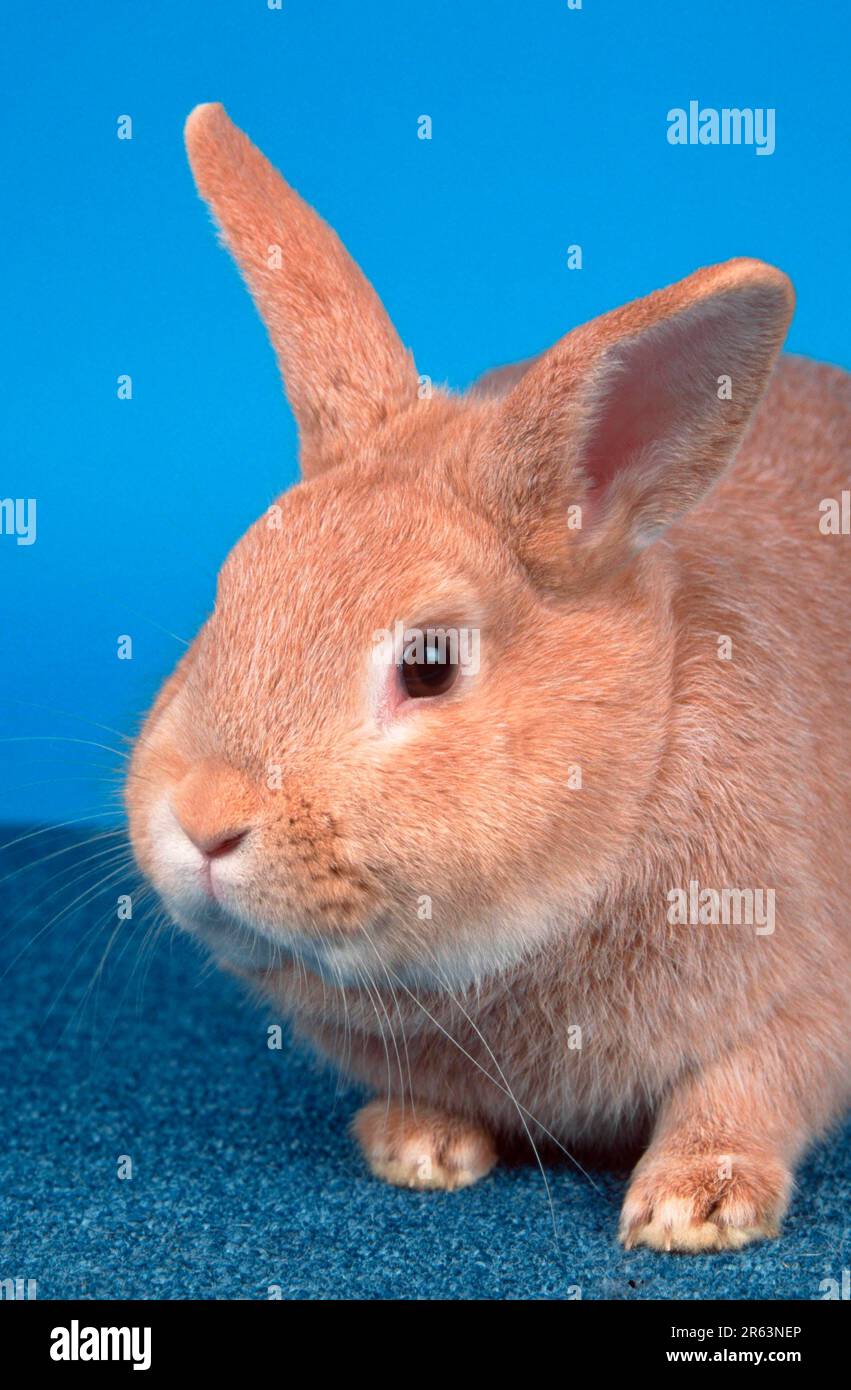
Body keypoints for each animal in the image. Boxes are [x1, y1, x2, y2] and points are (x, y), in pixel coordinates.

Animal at [126, 103, 851, 1253]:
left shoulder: (803, 993)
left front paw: (693, 1205)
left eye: (427, 667)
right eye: (227, 594)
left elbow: (749, 1085)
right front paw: (416, 1147)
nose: (202, 818)